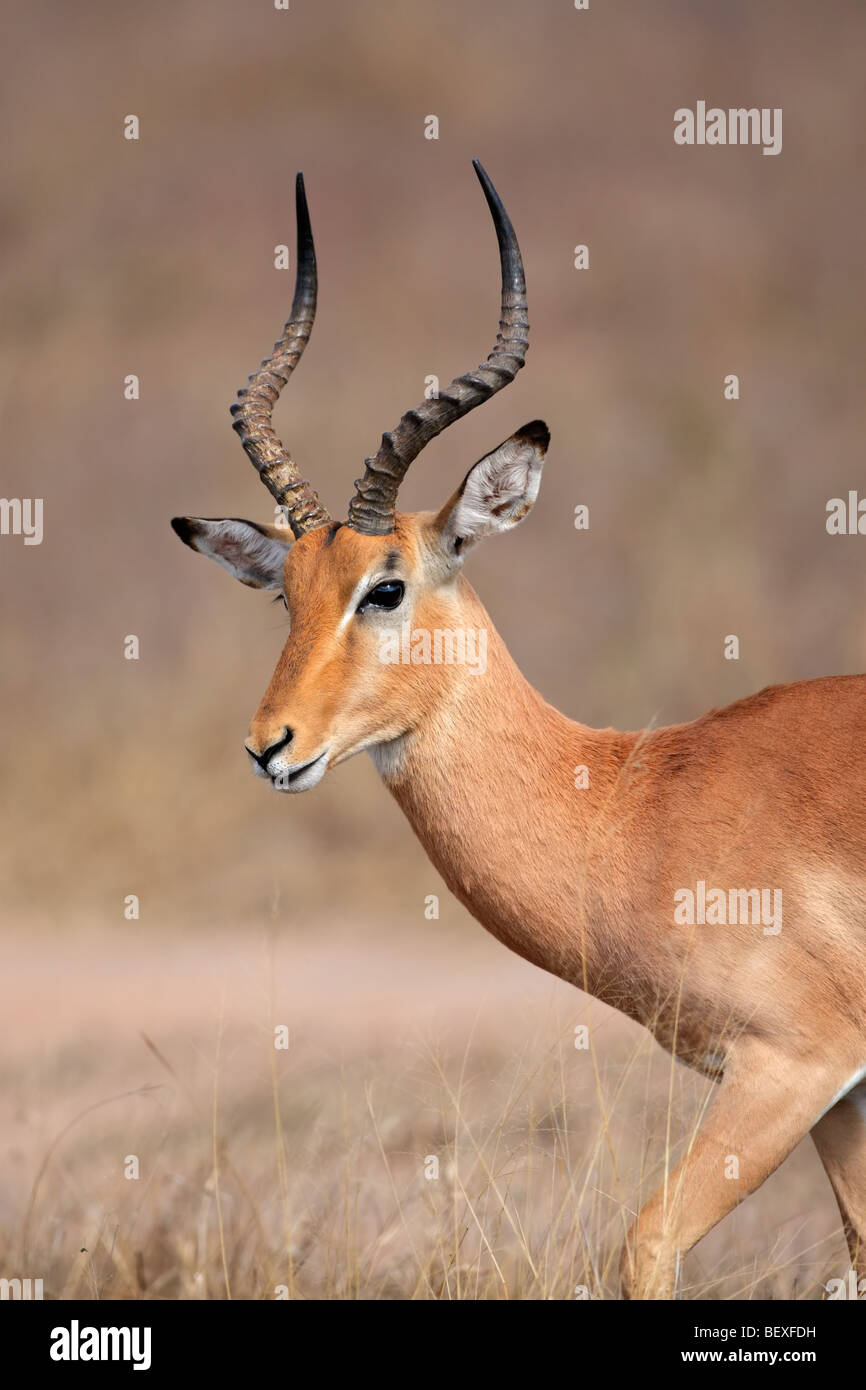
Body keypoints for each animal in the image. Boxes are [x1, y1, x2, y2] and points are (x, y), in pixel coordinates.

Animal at [172, 161, 866, 1299]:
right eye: (287, 595)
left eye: (386, 586)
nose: (270, 744)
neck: (635, 799)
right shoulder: (839, 1095)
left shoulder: (793, 1064)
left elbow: (644, 1238)